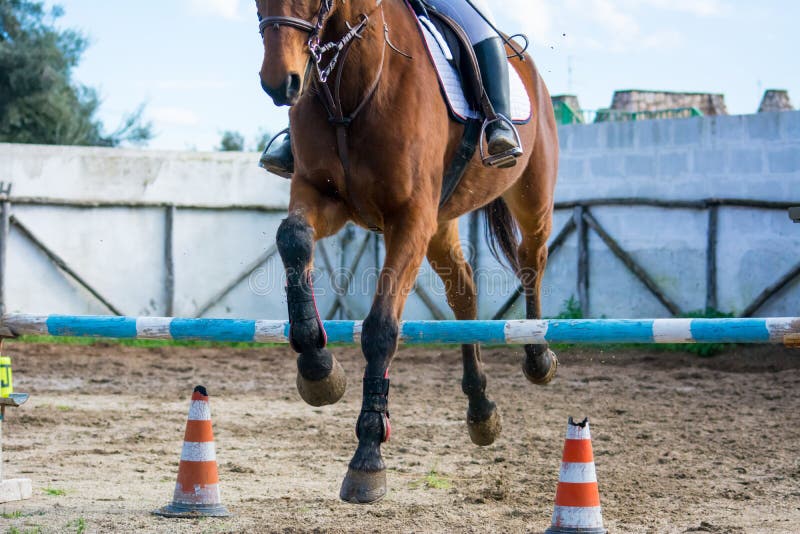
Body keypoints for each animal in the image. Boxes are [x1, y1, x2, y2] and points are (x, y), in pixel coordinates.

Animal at [255, 0, 559, 503]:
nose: (281, 83)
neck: (351, 90)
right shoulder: (322, 195)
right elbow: (292, 237)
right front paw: (318, 368)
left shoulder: (410, 218)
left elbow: (381, 328)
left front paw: (367, 459)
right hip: (441, 223)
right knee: (463, 292)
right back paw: (481, 408)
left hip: (530, 196)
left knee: (531, 261)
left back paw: (537, 357)